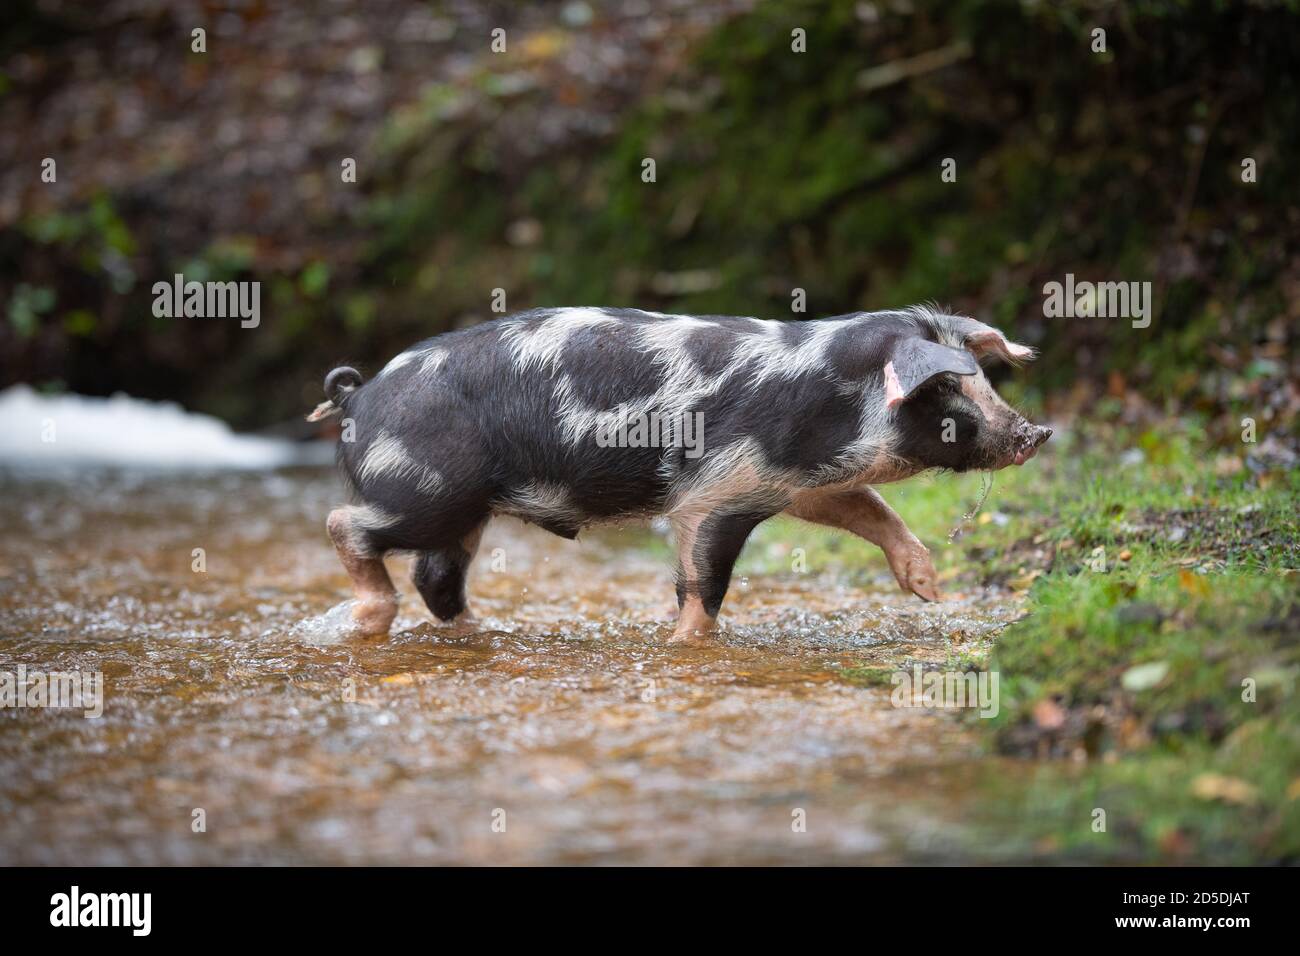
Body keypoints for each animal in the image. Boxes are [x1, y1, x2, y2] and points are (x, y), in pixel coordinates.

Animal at [309, 306, 1051, 642]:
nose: (1035, 434)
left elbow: (871, 510)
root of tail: (359, 396)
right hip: (429, 490)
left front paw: (929, 588)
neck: (824, 397)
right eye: (946, 392)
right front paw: (686, 642)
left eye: (985, 380)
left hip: (461, 511)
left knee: (436, 577)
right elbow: (703, 580)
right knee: (345, 523)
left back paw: (478, 632)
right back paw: (369, 619)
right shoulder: (714, 492)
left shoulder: (796, 486)